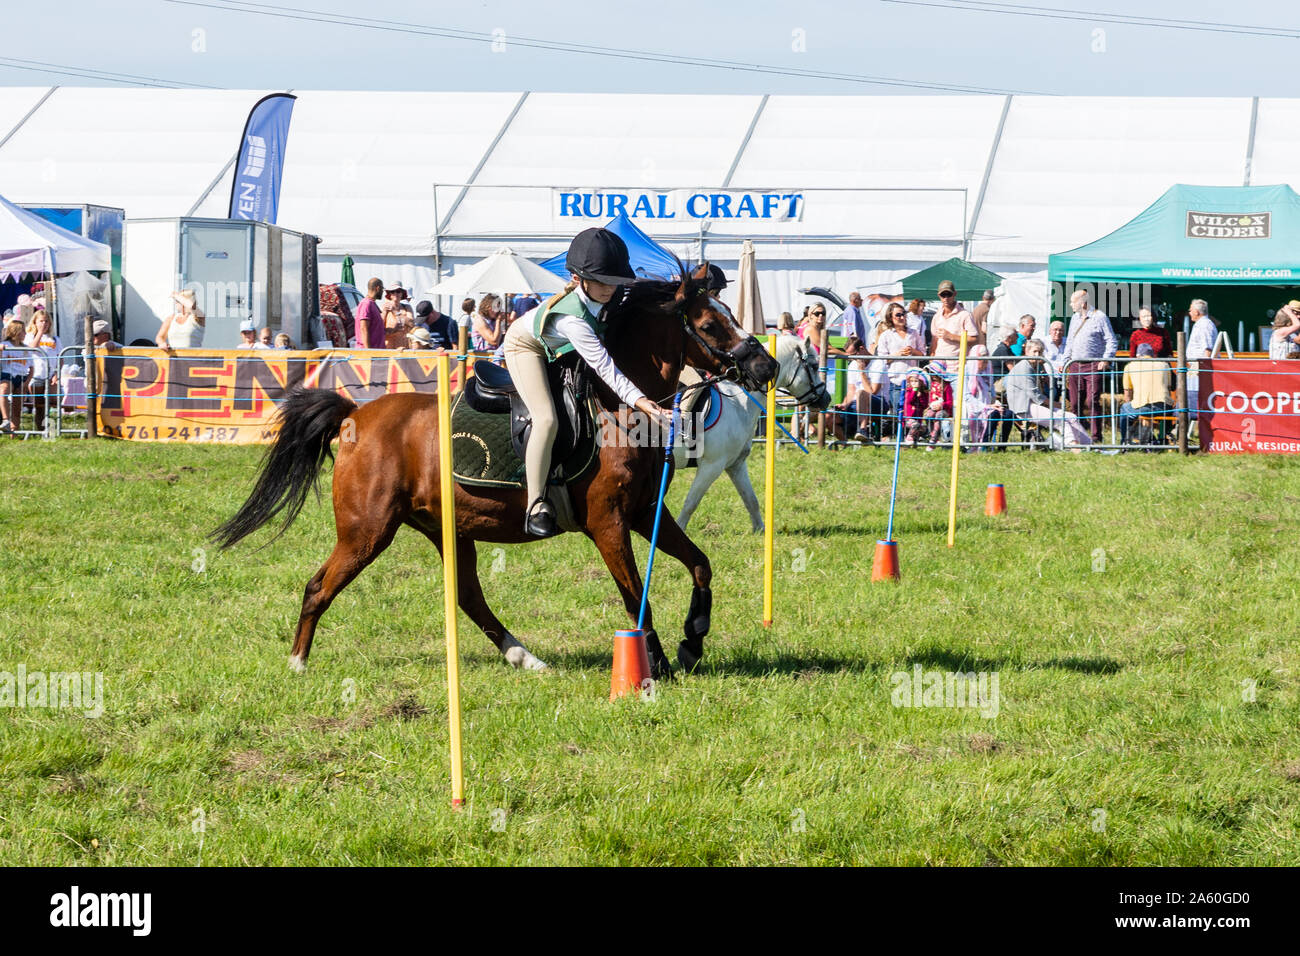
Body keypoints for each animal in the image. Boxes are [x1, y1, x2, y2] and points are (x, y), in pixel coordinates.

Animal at [211, 263, 779, 679]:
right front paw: (656, 663)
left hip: (449, 529)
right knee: (318, 587)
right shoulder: (608, 523)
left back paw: (524, 657)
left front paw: (693, 638)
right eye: (710, 325)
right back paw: (297, 662)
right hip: (366, 531)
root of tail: (355, 416)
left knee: (469, 598)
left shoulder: (643, 512)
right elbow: (634, 595)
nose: (766, 367)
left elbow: (700, 564)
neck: (616, 406)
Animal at [674, 334, 831, 533]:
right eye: (815, 366)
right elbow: (691, 503)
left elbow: (751, 499)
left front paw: (760, 530)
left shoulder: (736, 464)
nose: (826, 398)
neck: (739, 401)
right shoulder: (712, 465)